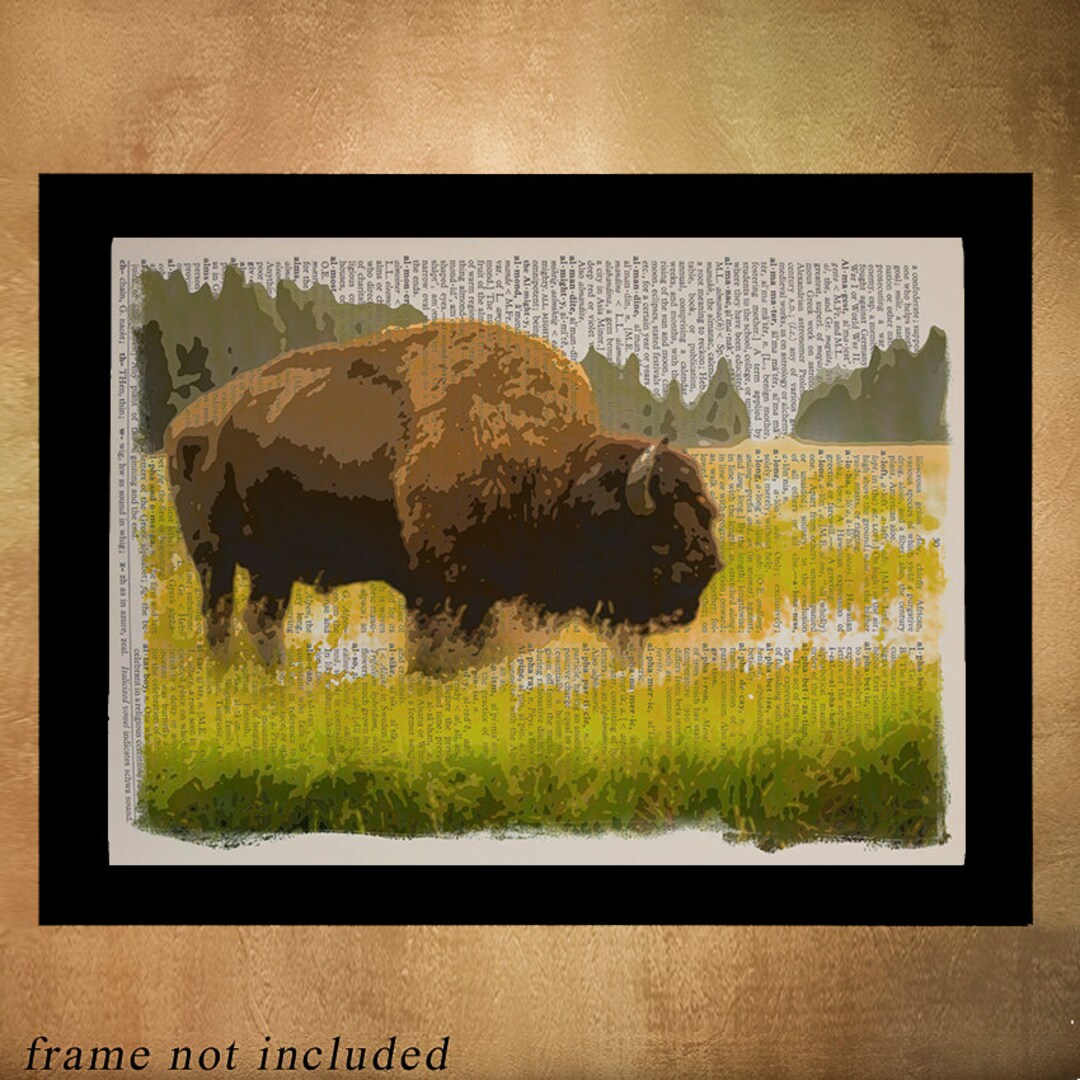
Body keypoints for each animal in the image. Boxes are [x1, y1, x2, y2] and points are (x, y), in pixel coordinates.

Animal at [164, 320, 723, 673]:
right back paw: (227, 676)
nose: (707, 570)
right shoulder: (438, 588)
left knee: (262, 620)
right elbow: (433, 653)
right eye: (660, 532)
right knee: (219, 613)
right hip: (212, 554)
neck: (544, 469)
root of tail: (185, 422)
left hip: (272, 565)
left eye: (707, 514)